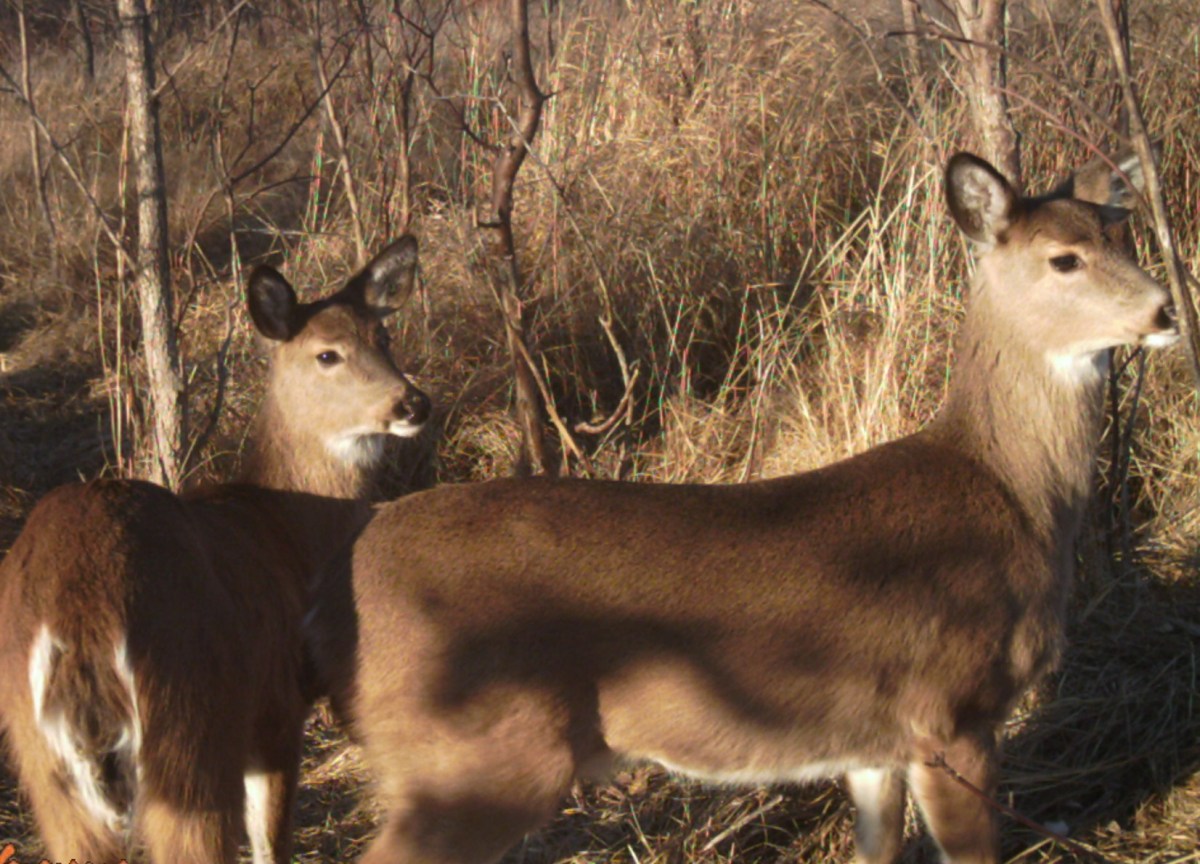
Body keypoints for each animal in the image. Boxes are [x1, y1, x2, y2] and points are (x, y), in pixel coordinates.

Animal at [0, 236, 431, 864]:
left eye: (385, 336)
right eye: (327, 354)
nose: (413, 404)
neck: (285, 529)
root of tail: (76, 616)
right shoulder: (276, 710)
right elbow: (271, 844)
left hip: (46, 773)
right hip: (188, 732)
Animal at [306, 150, 1178, 864]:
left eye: (1122, 235)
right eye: (1064, 258)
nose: (1167, 309)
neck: (1010, 493)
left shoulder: (875, 744)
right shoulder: (952, 712)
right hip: (477, 754)